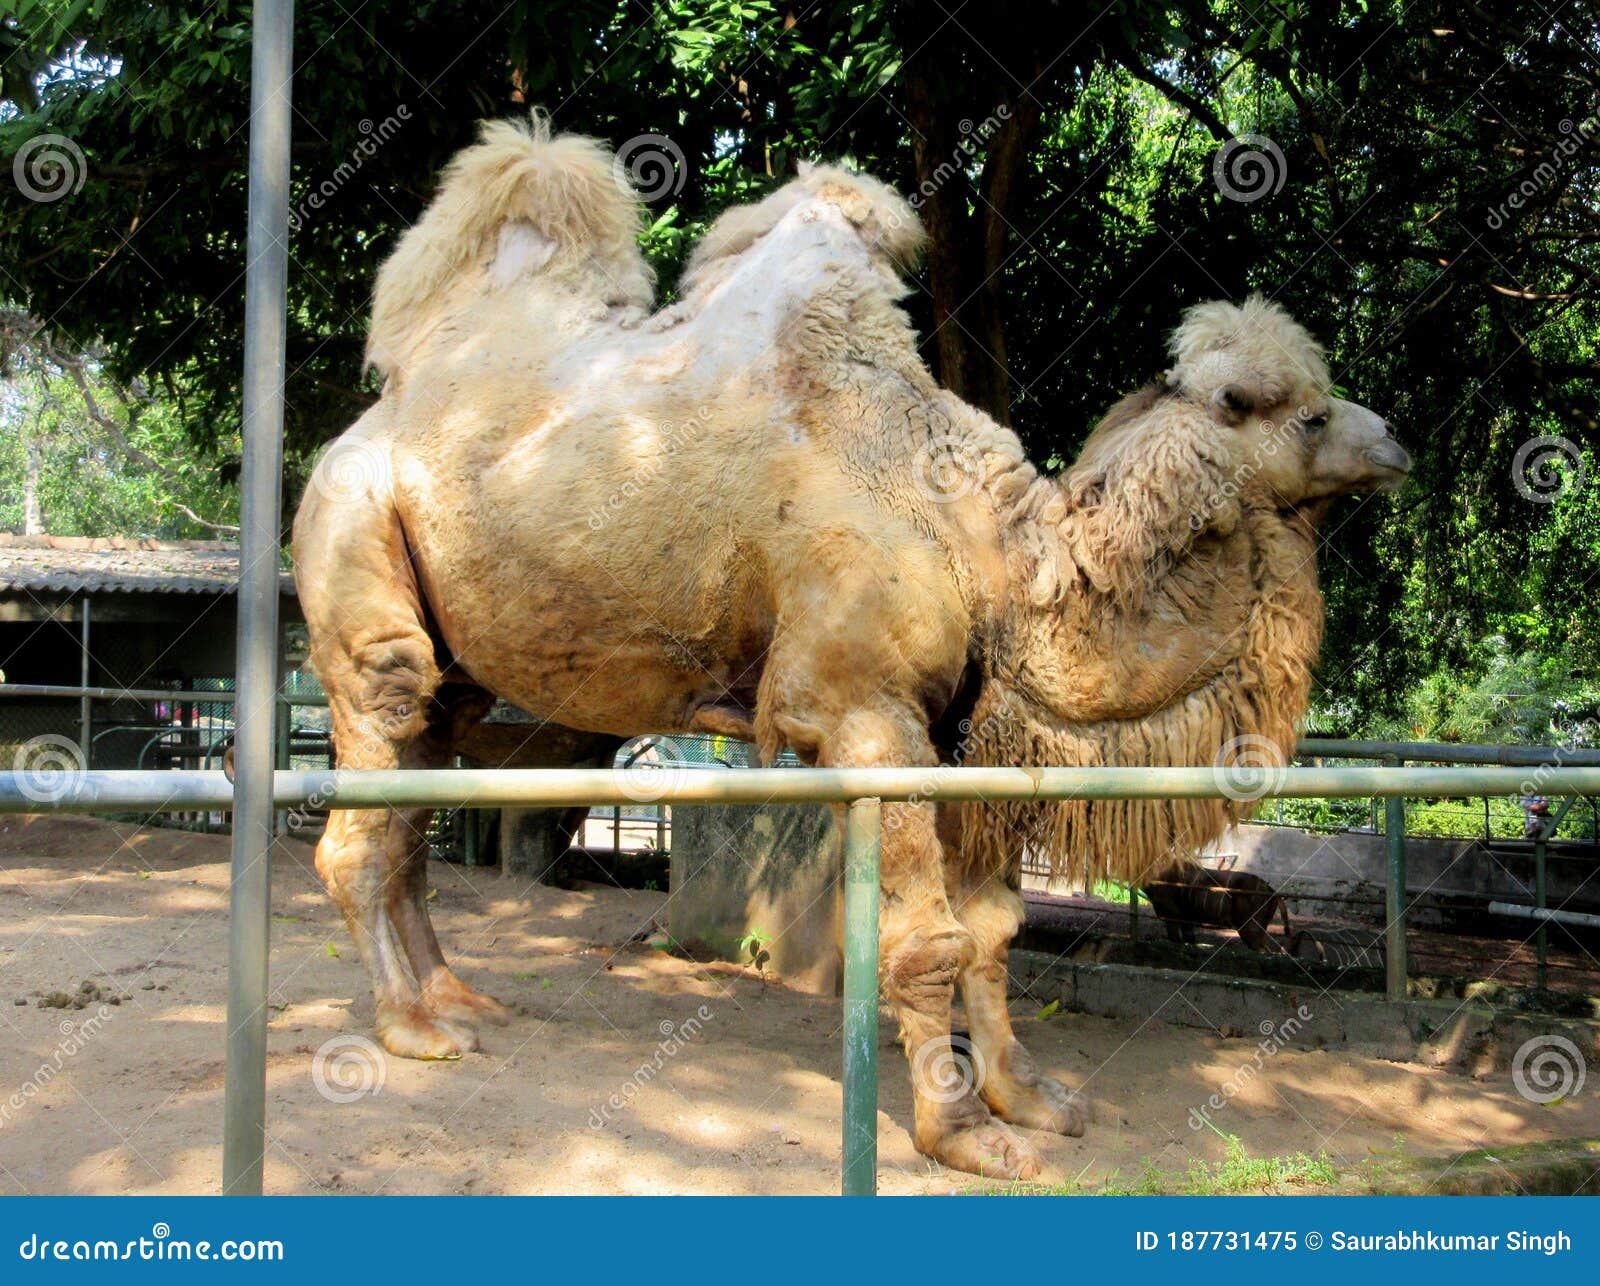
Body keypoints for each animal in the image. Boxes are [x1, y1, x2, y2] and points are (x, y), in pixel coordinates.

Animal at [292, 115, 1411, 1180]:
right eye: (1307, 414)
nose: (1396, 440)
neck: (980, 546)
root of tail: (368, 419)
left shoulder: (965, 729)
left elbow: (993, 932)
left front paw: (1031, 1097)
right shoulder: (864, 710)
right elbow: (925, 940)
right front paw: (963, 1132)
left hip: (456, 666)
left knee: (410, 814)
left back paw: (456, 1001)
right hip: (356, 542)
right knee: (364, 795)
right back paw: (409, 1029)